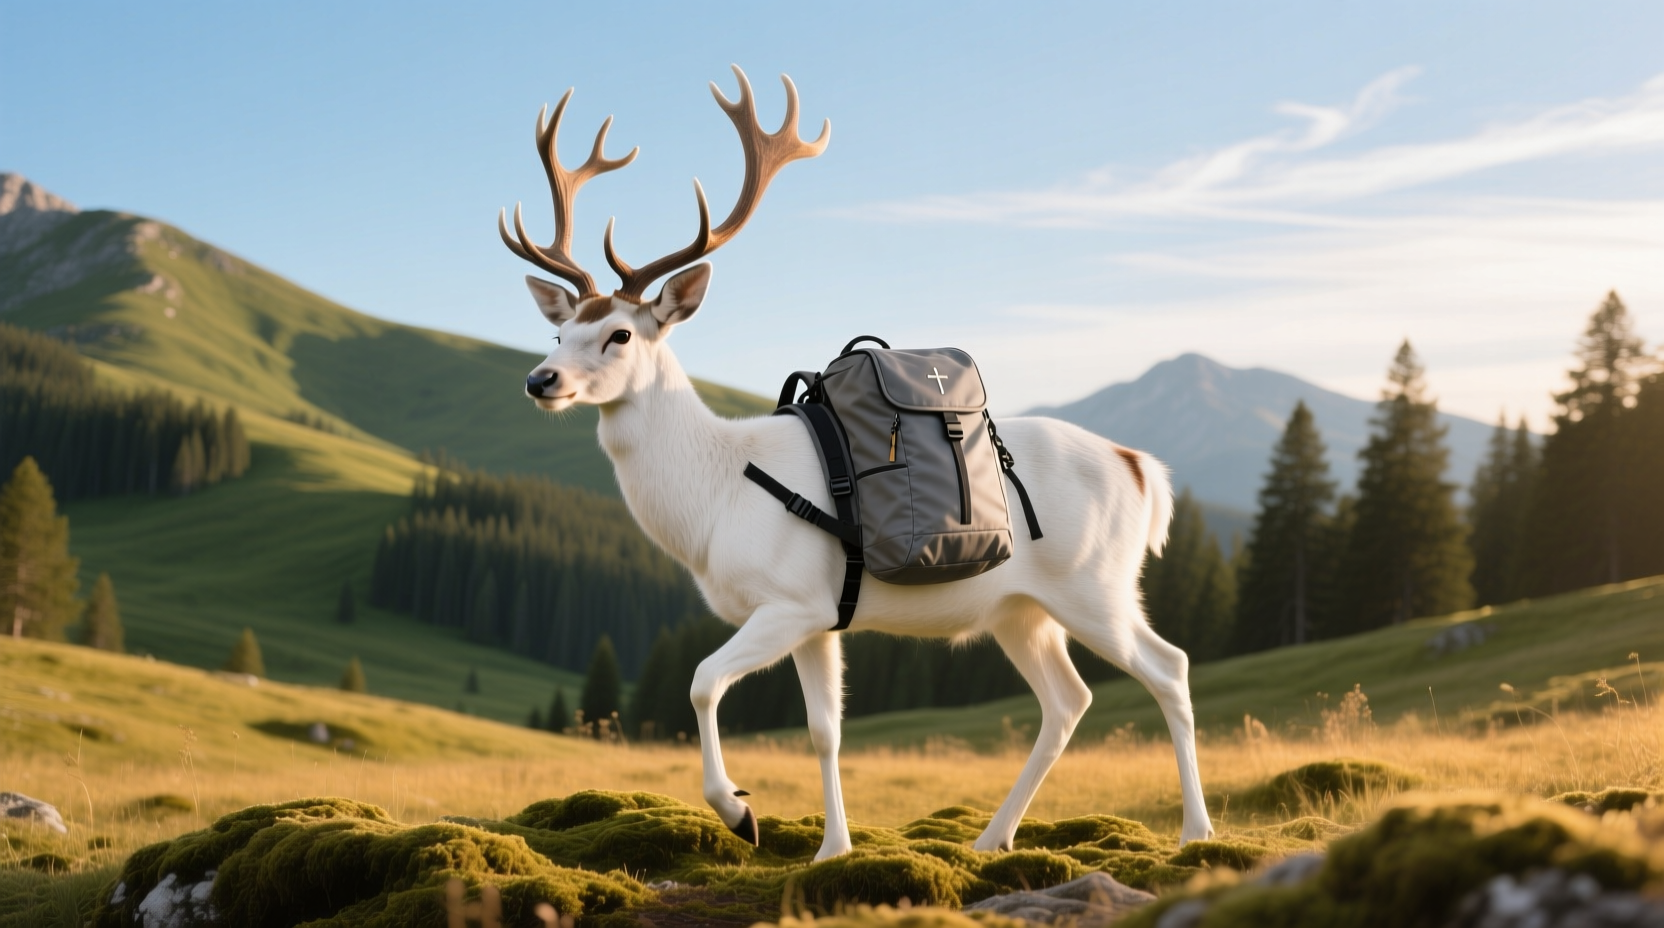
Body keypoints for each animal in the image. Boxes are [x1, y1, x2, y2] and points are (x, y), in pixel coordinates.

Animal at [501, 66, 1214, 861]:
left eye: (620, 334)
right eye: (560, 331)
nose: (540, 381)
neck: (714, 505)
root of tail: (1143, 470)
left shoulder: (791, 600)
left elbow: (701, 681)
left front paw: (738, 811)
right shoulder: (819, 616)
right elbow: (824, 730)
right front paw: (831, 848)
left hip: (1097, 584)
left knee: (1170, 667)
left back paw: (1195, 830)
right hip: (1020, 609)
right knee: (1068, 698)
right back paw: (991, 837)